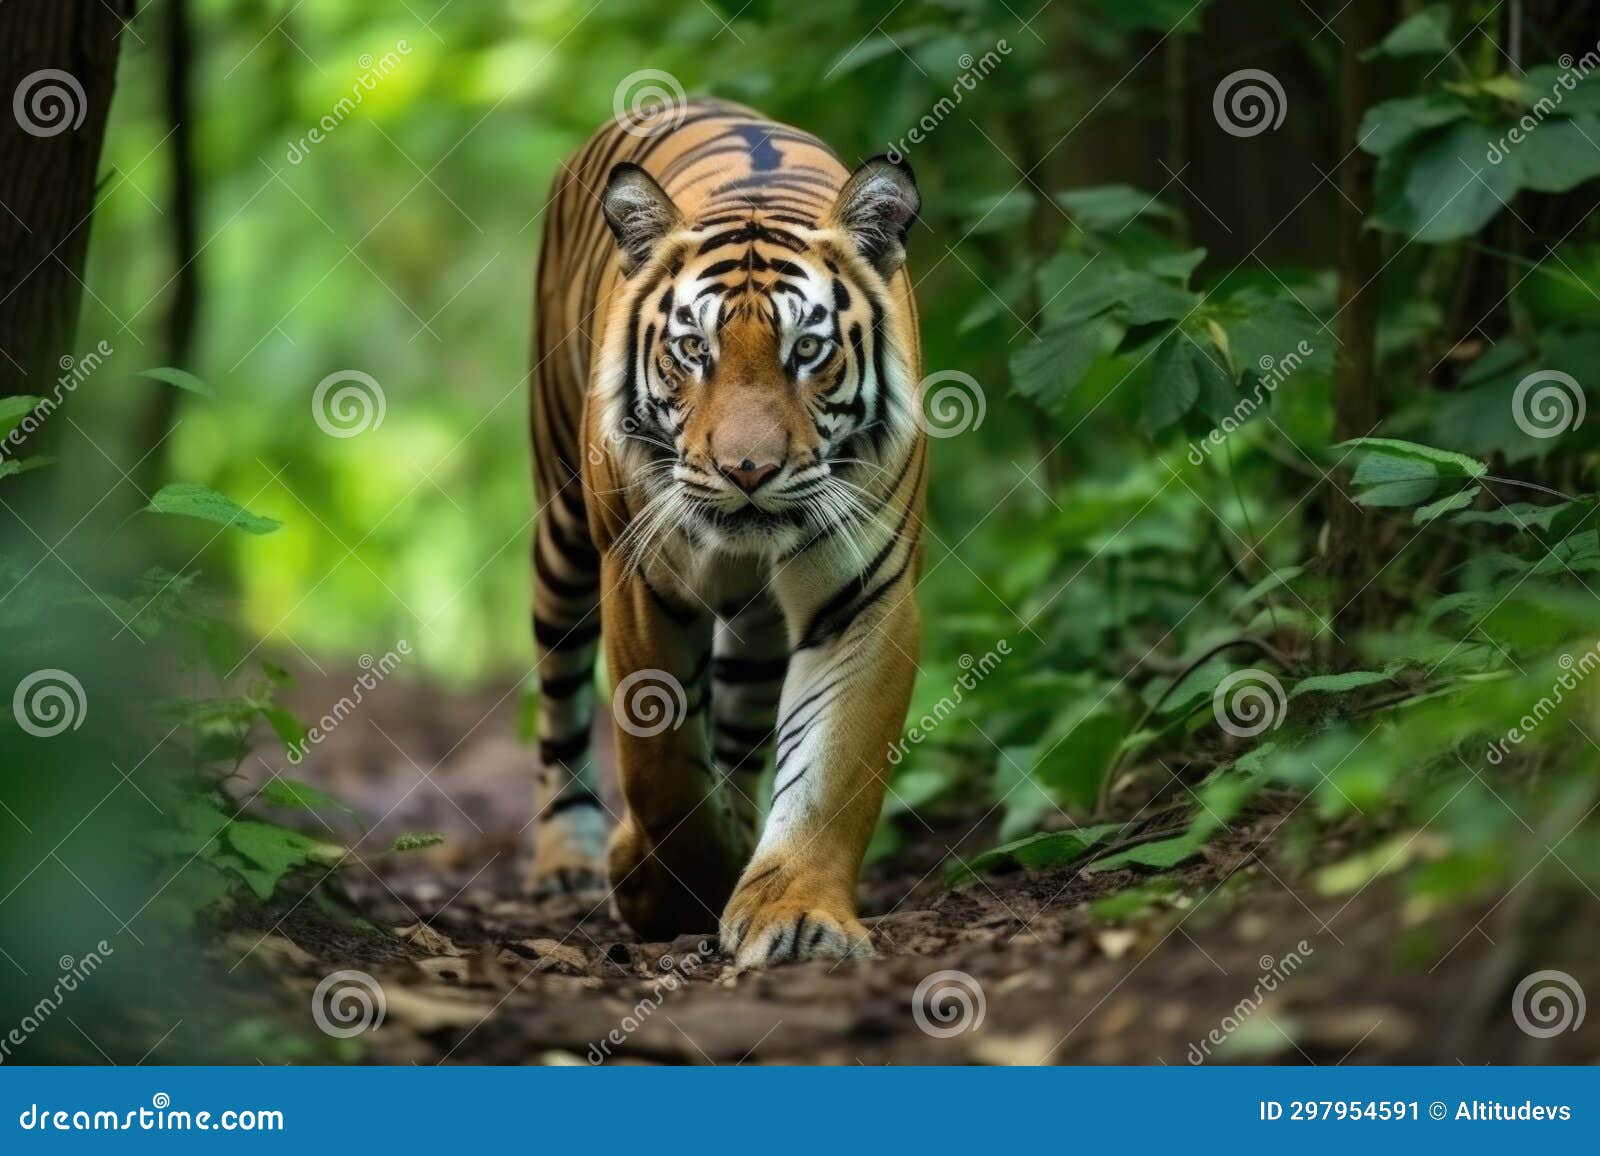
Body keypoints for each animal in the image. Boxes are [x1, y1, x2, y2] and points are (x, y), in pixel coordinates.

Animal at [527, 98, 925, 967]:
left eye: (807, 349)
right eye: (691, 350)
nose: (747, 470)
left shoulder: (864, 593)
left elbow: (828, 769)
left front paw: (797, 915)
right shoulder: (637, 577)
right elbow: (661, 763)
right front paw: (662, 887)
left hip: (753, 622)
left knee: (741, 727)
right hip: (563, 535)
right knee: (560, 693)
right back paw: (566, 855)